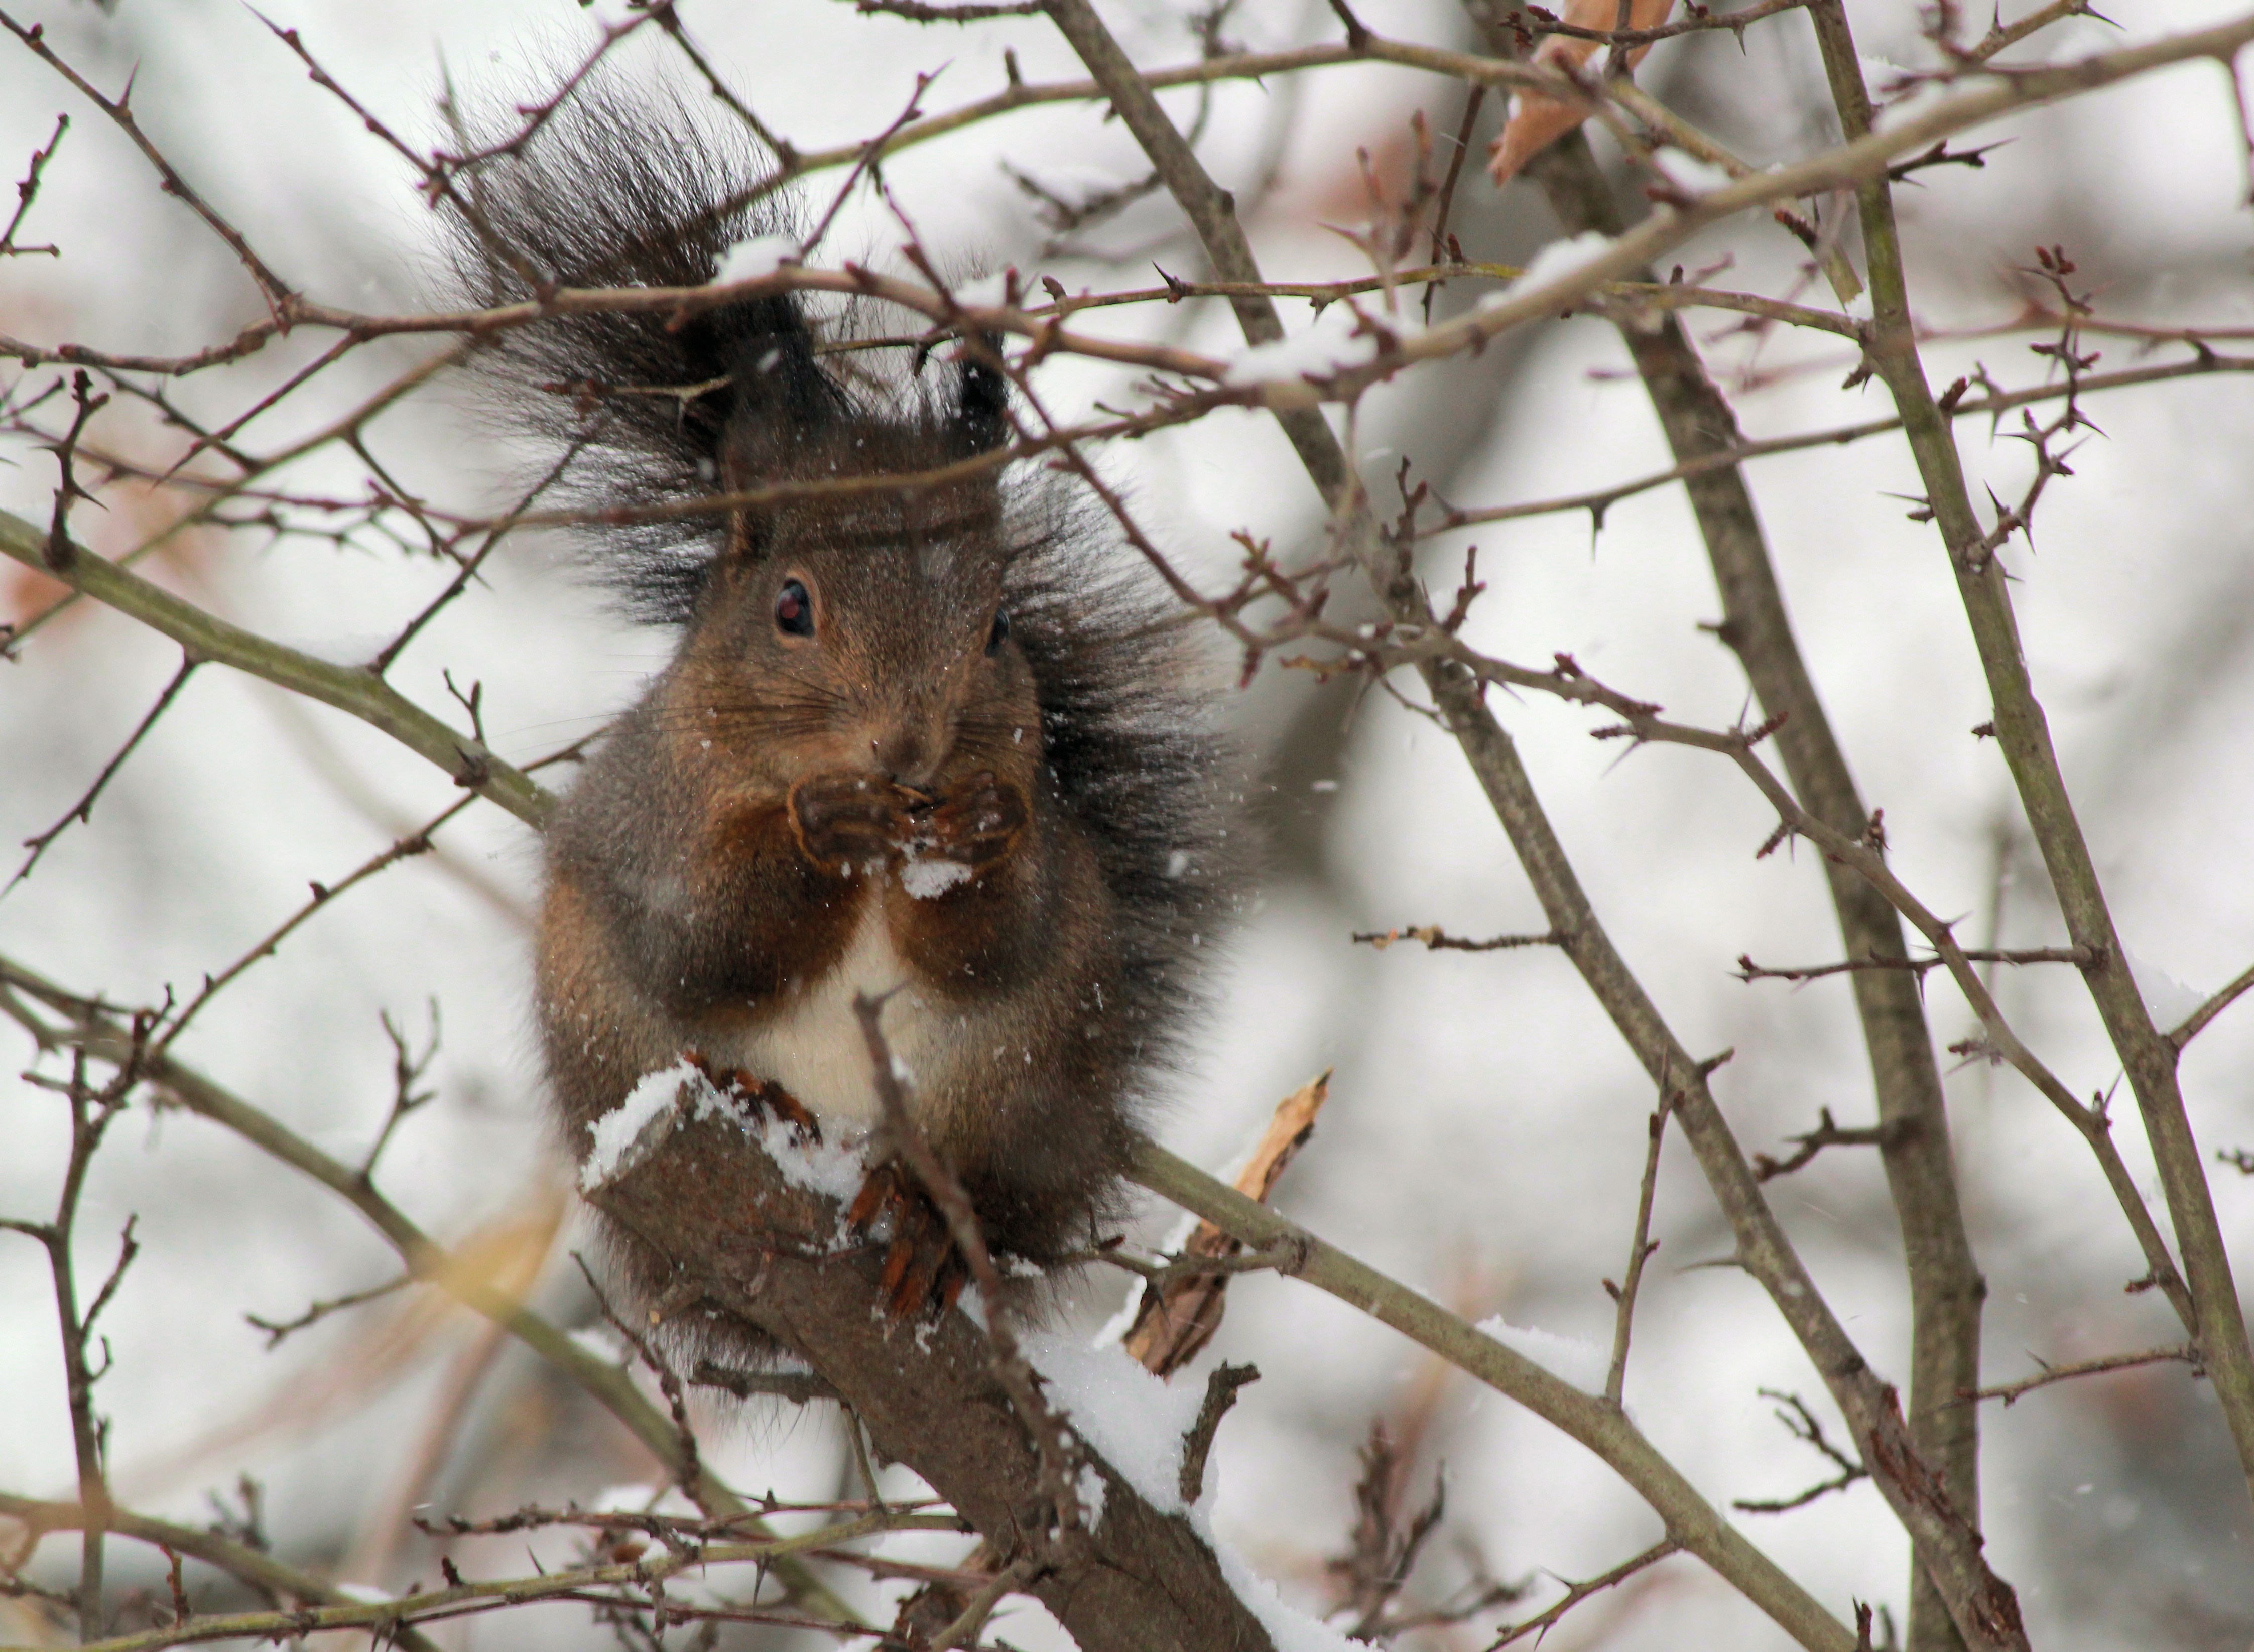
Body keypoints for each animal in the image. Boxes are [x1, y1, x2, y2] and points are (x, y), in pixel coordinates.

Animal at [446, 89, 1246, 1310]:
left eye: (997, 626)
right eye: (791, 606)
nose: (906, 752)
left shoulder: (1037, 901)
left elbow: (1001, 938)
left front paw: (981, 830)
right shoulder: (652, 822)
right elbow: (701, 939)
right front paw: (817, 825)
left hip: (1025, 1075)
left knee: (990, 1186)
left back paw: (926, 1221)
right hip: (605, 1039)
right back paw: (763, 1102)